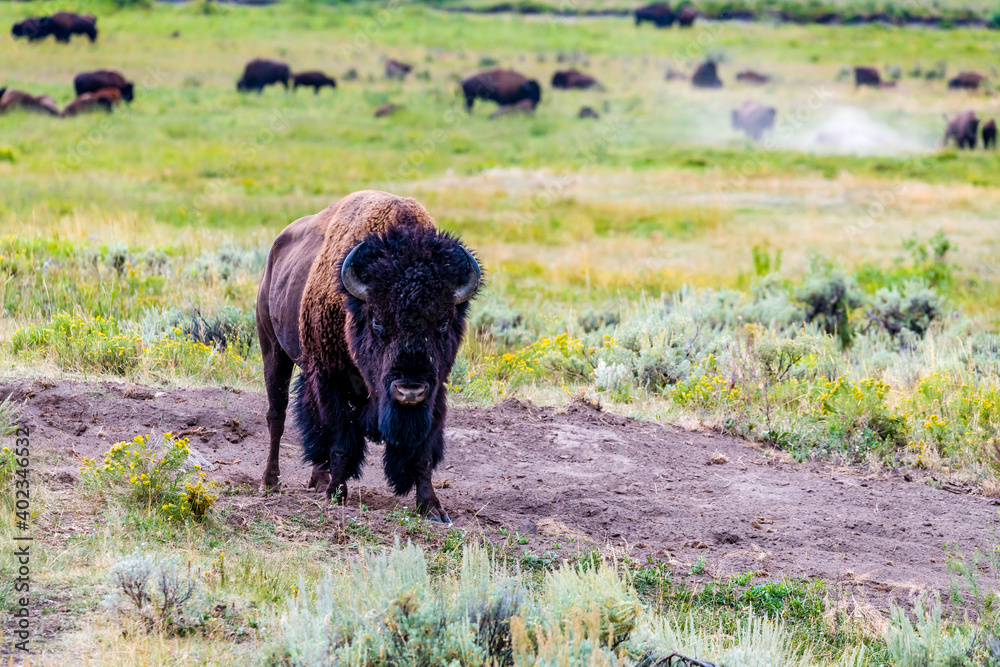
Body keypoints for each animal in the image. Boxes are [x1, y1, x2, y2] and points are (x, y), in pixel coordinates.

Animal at [256, 190, 481, 521]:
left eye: (442, 322)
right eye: (377, 320)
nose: (409, 390)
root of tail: (274, 253)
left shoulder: (435, 391)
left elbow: (423, 454)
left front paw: (433, 508)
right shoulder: (330, 379)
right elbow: (341, 442)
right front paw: (337, 495)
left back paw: (318, 479)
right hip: (273, 350)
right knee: (278, 415)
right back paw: (271, 483)